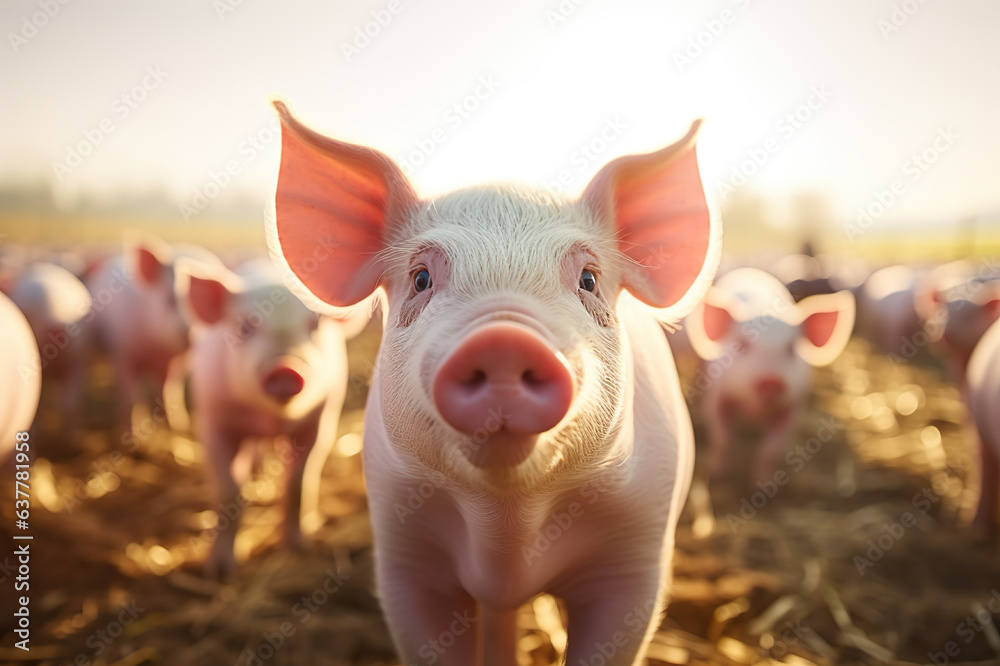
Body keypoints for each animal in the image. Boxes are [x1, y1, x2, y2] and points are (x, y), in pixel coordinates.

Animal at [9, 262, 93, 436]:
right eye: (29, 314)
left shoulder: (79, 362)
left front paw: (71, 437)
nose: (57, 328)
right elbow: (36, 410)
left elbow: (70, 404)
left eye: (77, 312)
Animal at [86, 234, 222, 436]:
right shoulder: (123, 355)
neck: (156, 350)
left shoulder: (175, 363)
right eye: (170, 299)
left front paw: (178, 427)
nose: (192, 332)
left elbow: (170, 392)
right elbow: (130, 396)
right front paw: (132, 435)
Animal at [175, 258, 363, 577]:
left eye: (315, 326)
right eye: (245, 326)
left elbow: (298, 482)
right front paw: (220, 571)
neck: (272, 419)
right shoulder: (213, 423)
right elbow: (227, 489)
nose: (285, 369)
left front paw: (298, 547)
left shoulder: (320, 421)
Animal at [269, 100, 720, 665]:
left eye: (589, 279)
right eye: (421, 278)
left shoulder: (636, 560)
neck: (506, 529)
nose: (504, 339)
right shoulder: (403, 557)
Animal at [685, 268, 855, 484]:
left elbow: (771, 450)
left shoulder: (794, 407)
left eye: (792, 349)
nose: (771, 380)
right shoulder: (716, 398)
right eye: (740, 346)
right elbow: (722, 439)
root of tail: (751, 271)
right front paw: (715, 473)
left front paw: (762, 481)